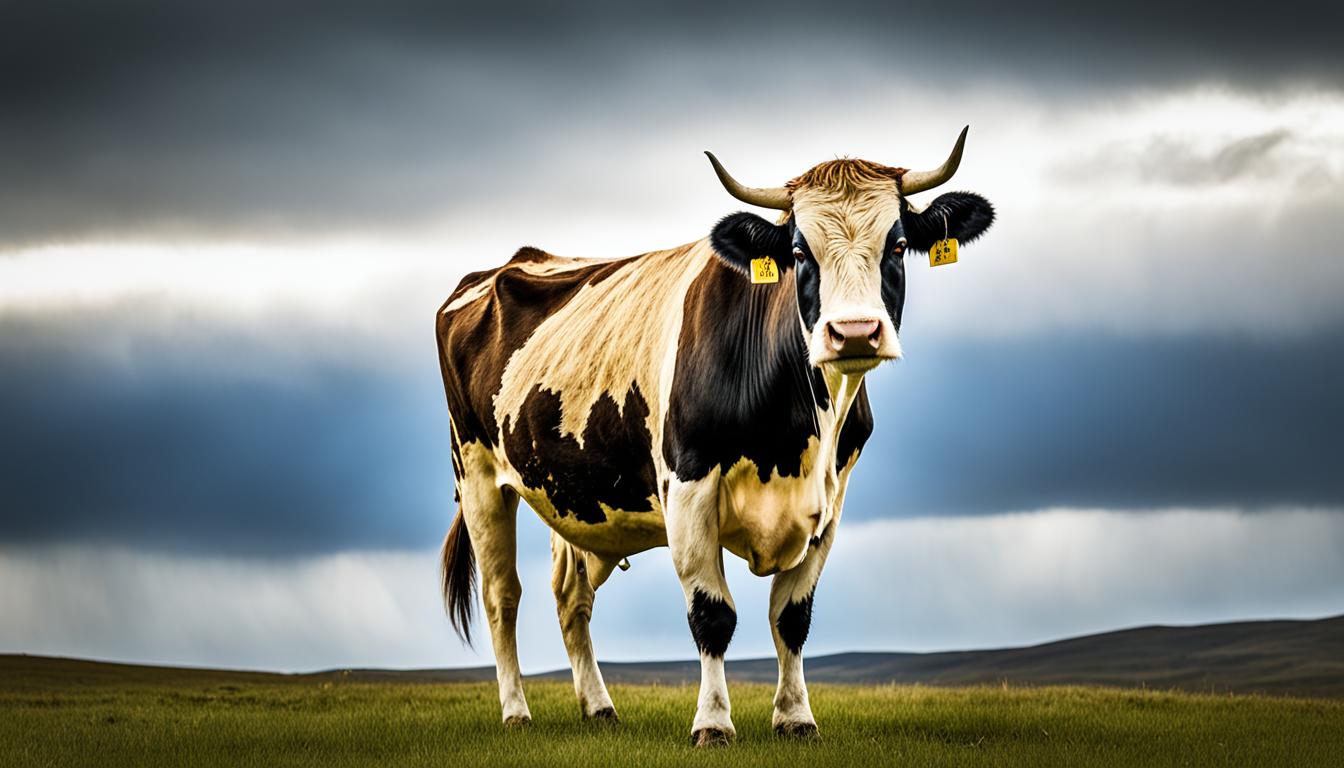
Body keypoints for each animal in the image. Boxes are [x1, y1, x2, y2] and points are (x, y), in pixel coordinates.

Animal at [434, 127, 994, 746]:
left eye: (896, 246)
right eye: (799, 252)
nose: (853, 332)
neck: (791, 439)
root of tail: (500, 268)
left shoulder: (832, 500)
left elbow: (791, 616)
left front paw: (795, 717)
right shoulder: (688, 488)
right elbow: (712, 614)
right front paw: (713, 722)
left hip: (576, 498)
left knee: (571, 597)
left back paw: (599, 707)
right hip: (478, 475)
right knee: (502, 596)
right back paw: (516, 711)